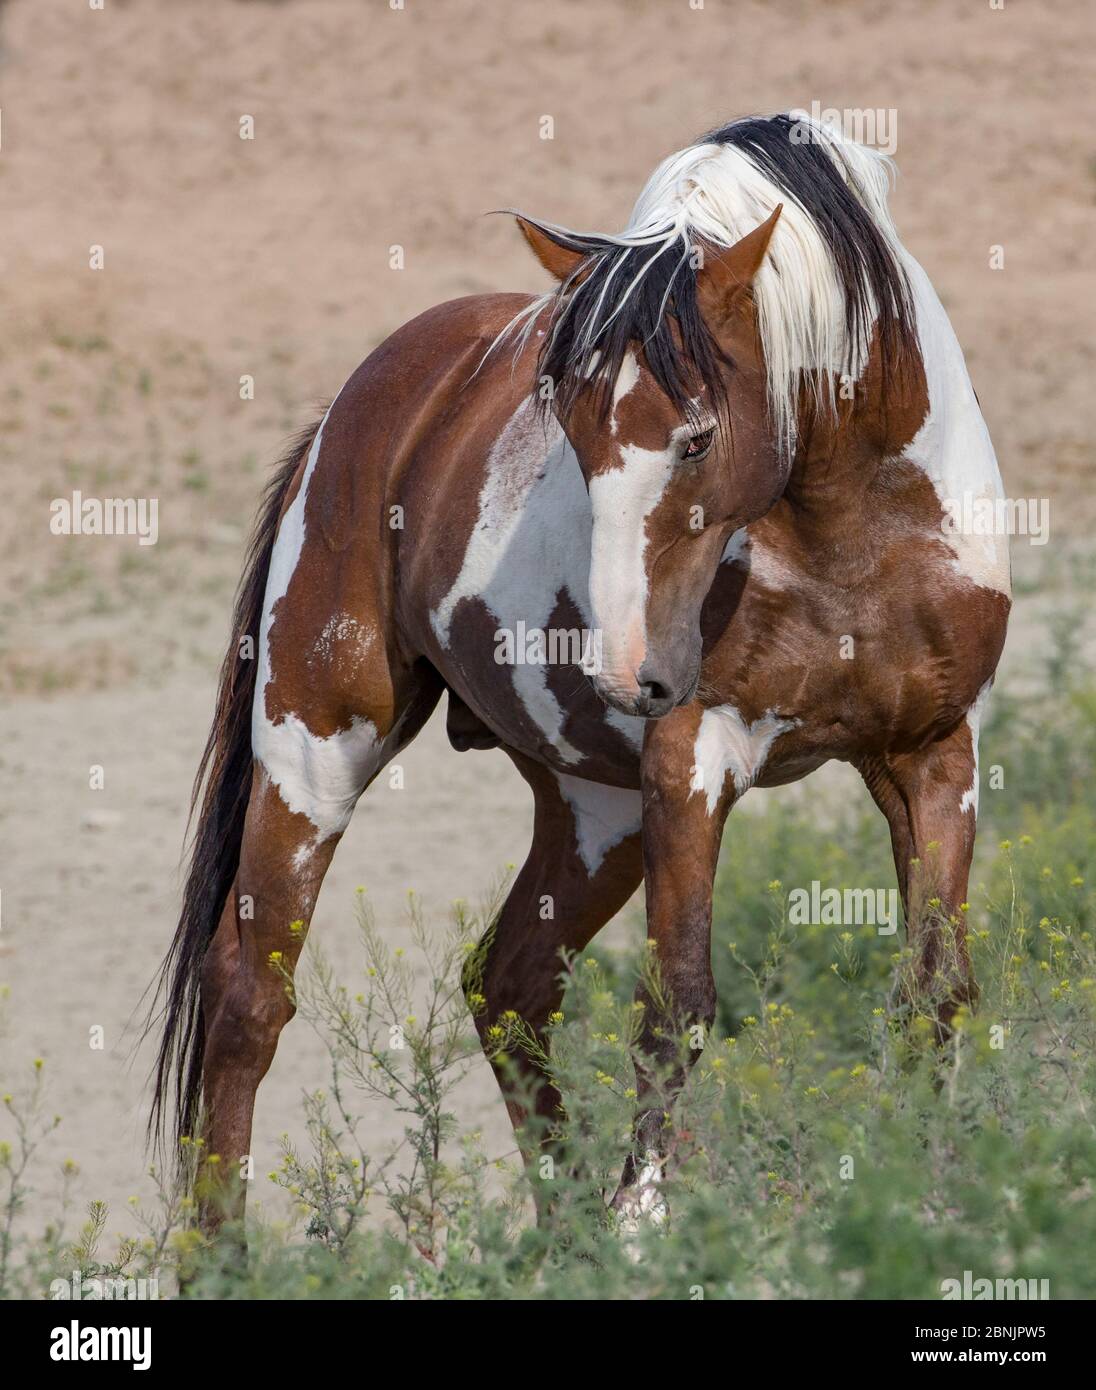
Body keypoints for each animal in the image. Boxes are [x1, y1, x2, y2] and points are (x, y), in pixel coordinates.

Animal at [150, 112, 1010, 1231]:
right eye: (569, 424)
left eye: (697, 438)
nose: (624, 671)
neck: (853, 529)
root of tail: (355, 411)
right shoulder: (694, 761)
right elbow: (676, 1005)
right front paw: (646, 1232)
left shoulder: (933, 754)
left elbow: (934, 993)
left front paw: (930, 1200)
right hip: (315, 750)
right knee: (249, 995)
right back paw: (221, 1252)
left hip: (593, 809)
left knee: (507, 982)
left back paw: (567, 1240)